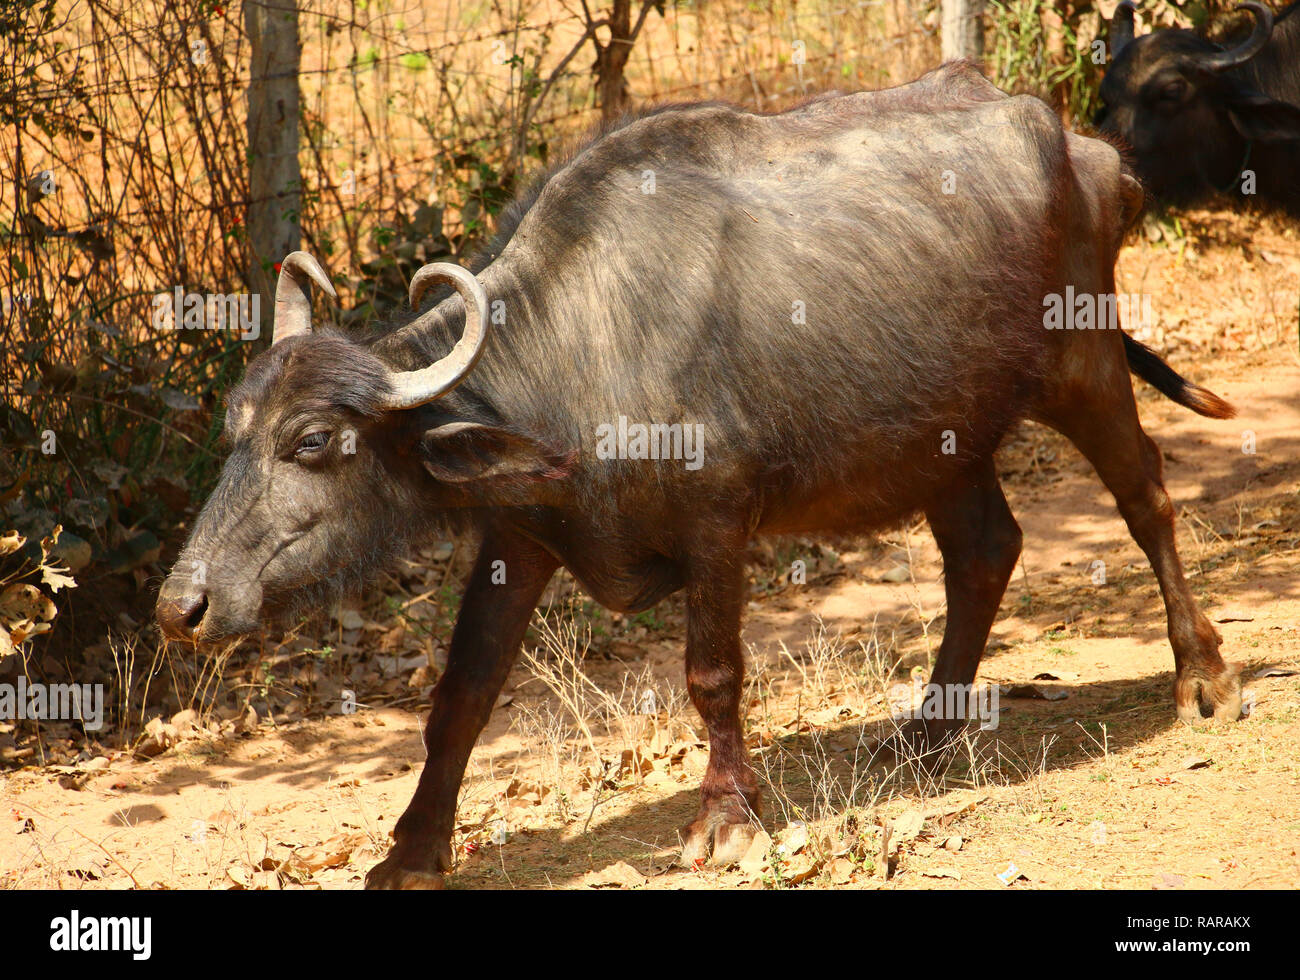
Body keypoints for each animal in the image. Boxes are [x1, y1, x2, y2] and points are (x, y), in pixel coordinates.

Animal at [156, 62, 1243, 889]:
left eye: (311, 441)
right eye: (235, 430)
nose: (182, 605)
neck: (583, 346)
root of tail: (1086, 151)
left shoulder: (718, 518)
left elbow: (712, 673)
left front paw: (724, 817)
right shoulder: (519, 535)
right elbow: (462, 695)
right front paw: (412, 850)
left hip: (1084, 363)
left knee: (1145, 499)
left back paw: (1202, 675)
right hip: (944, 438)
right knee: (984, 552)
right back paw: (926, 733)